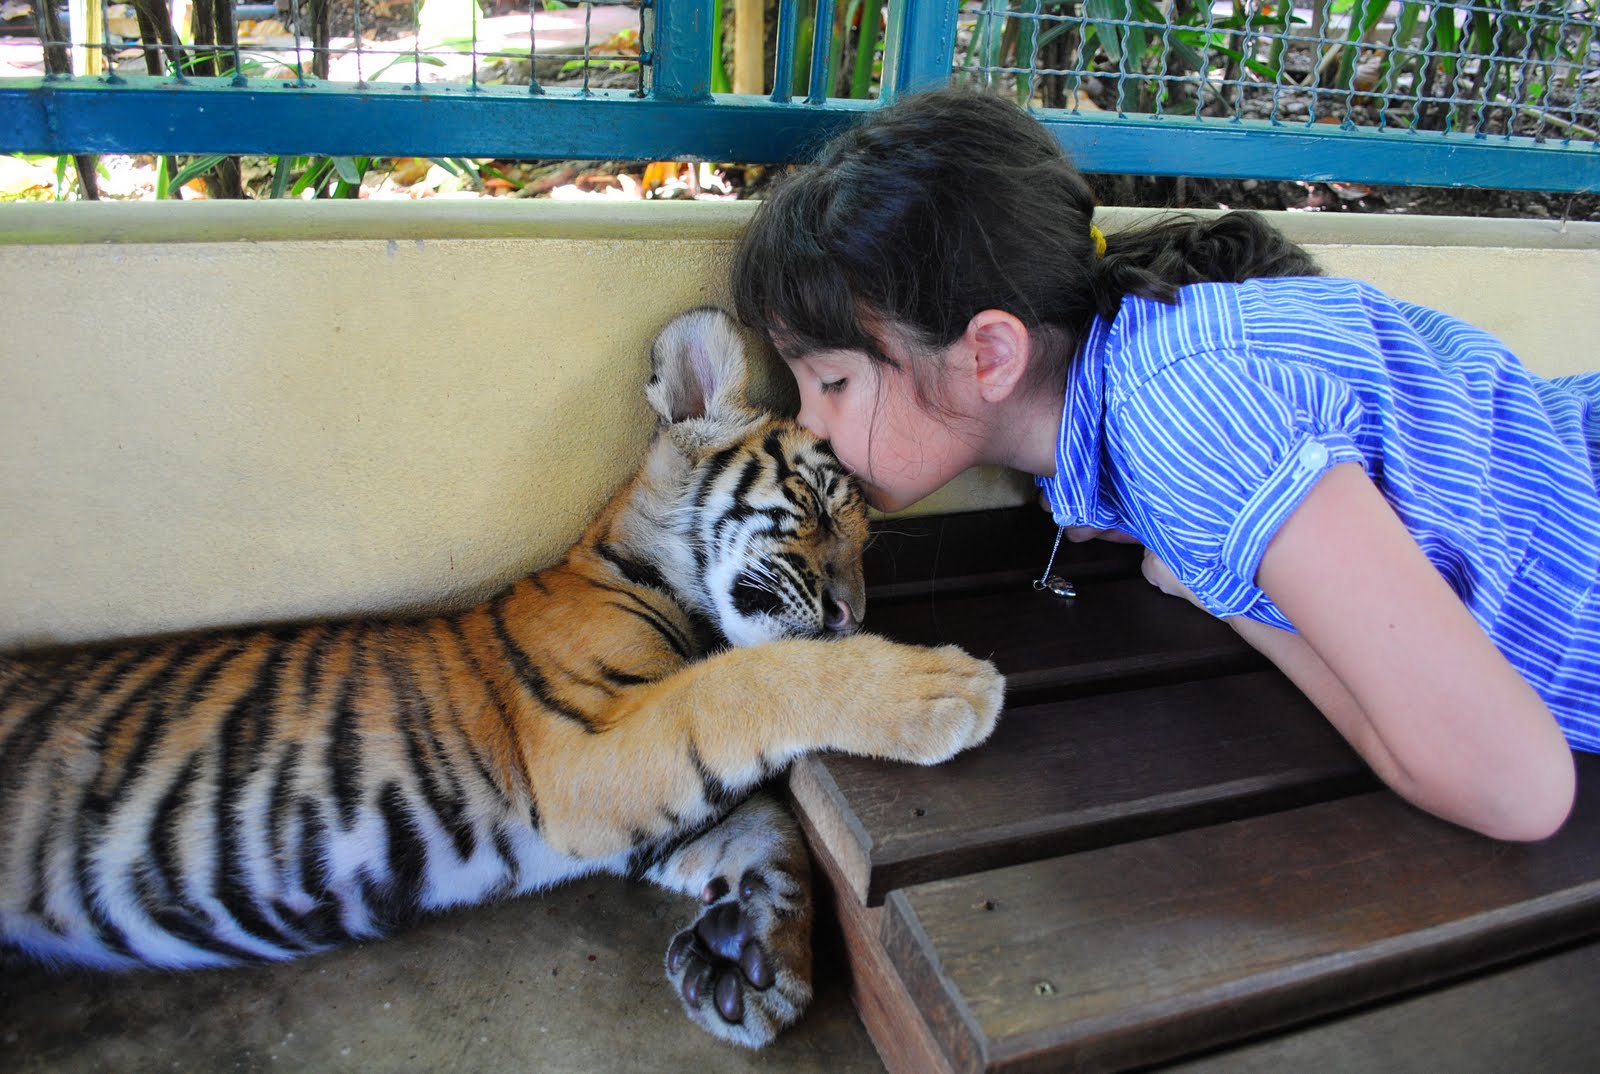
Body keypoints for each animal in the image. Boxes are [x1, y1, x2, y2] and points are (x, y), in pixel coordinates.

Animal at [0, 307, 1005, 1049]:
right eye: (813, 508)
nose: (847, 615)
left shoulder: (630, 808)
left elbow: (771, 823)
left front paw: (753, 965)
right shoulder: (580, 760)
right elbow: (749, 682)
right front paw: (944, 689)